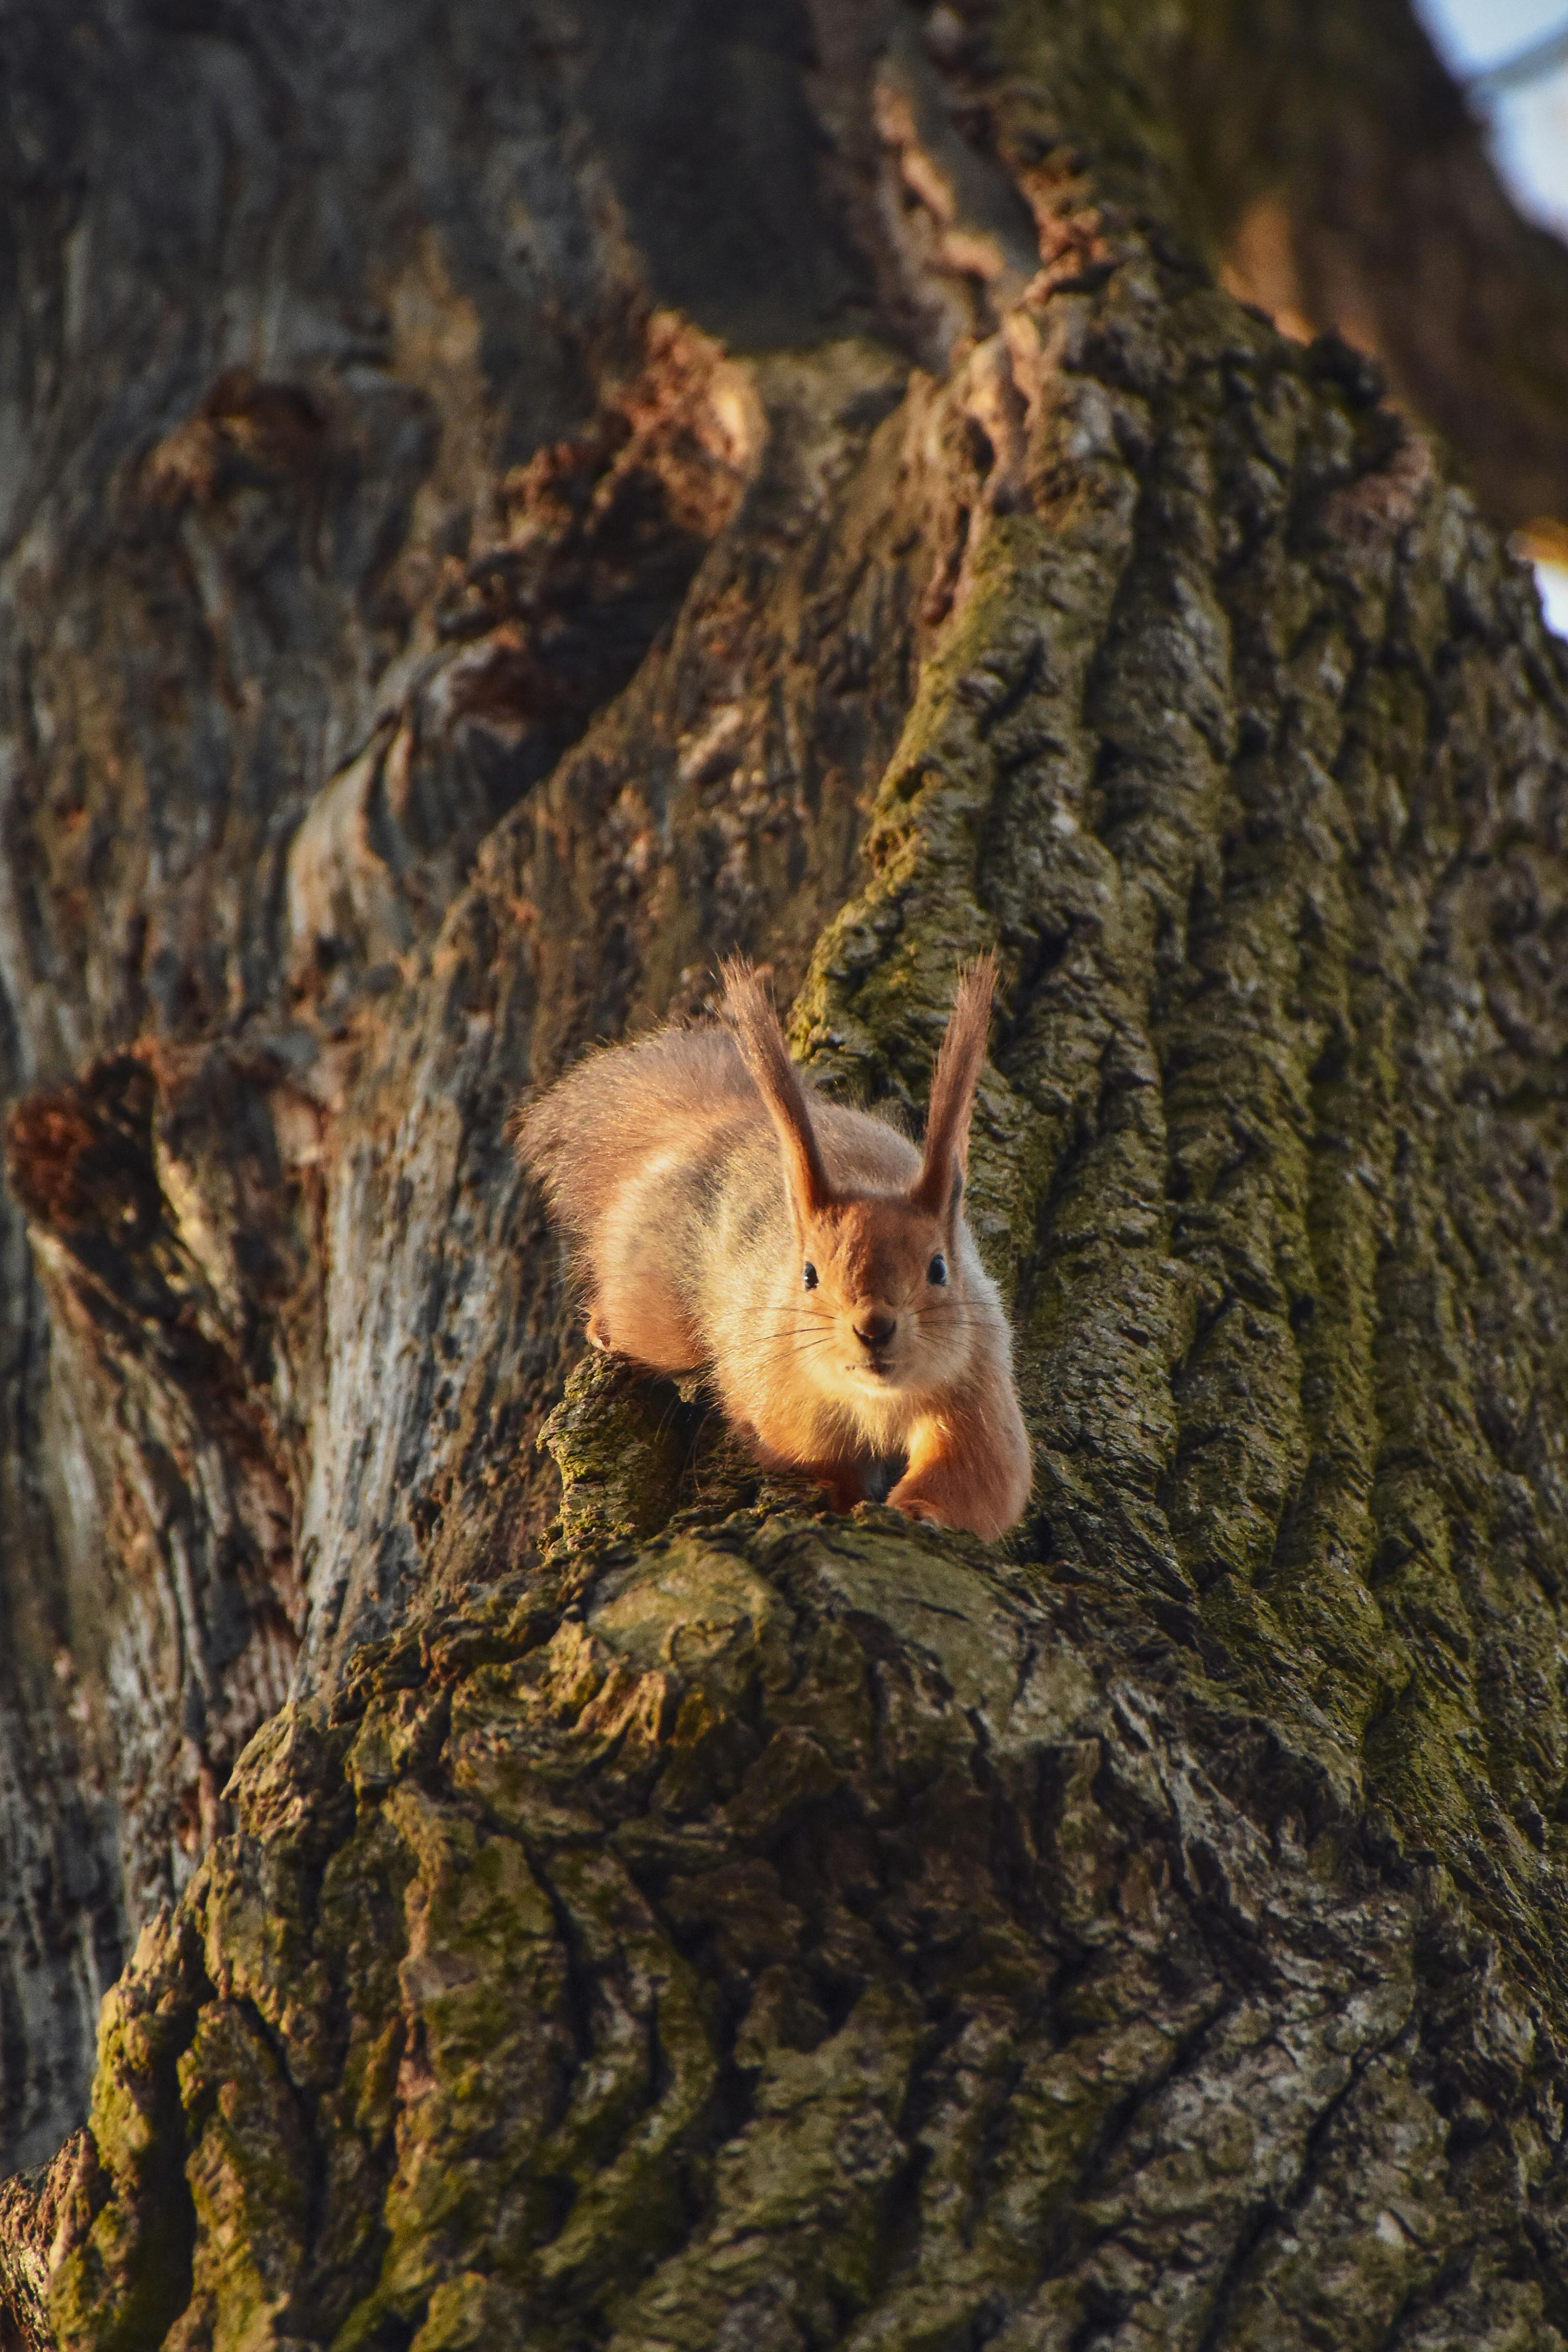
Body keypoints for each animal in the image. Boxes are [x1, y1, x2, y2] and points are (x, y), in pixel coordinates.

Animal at [515, 956, 1032, 1539]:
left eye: (939, 1268)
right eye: (809, 1275)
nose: (874, 1328)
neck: (876, 1401)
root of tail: (722, 1122)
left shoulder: (976, 1398)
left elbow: (975, 1477)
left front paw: (919, 1510)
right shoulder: (781, 1397)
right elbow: (810, 1457)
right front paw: (844, 1497)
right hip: (659, 1301)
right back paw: (605, 1328)